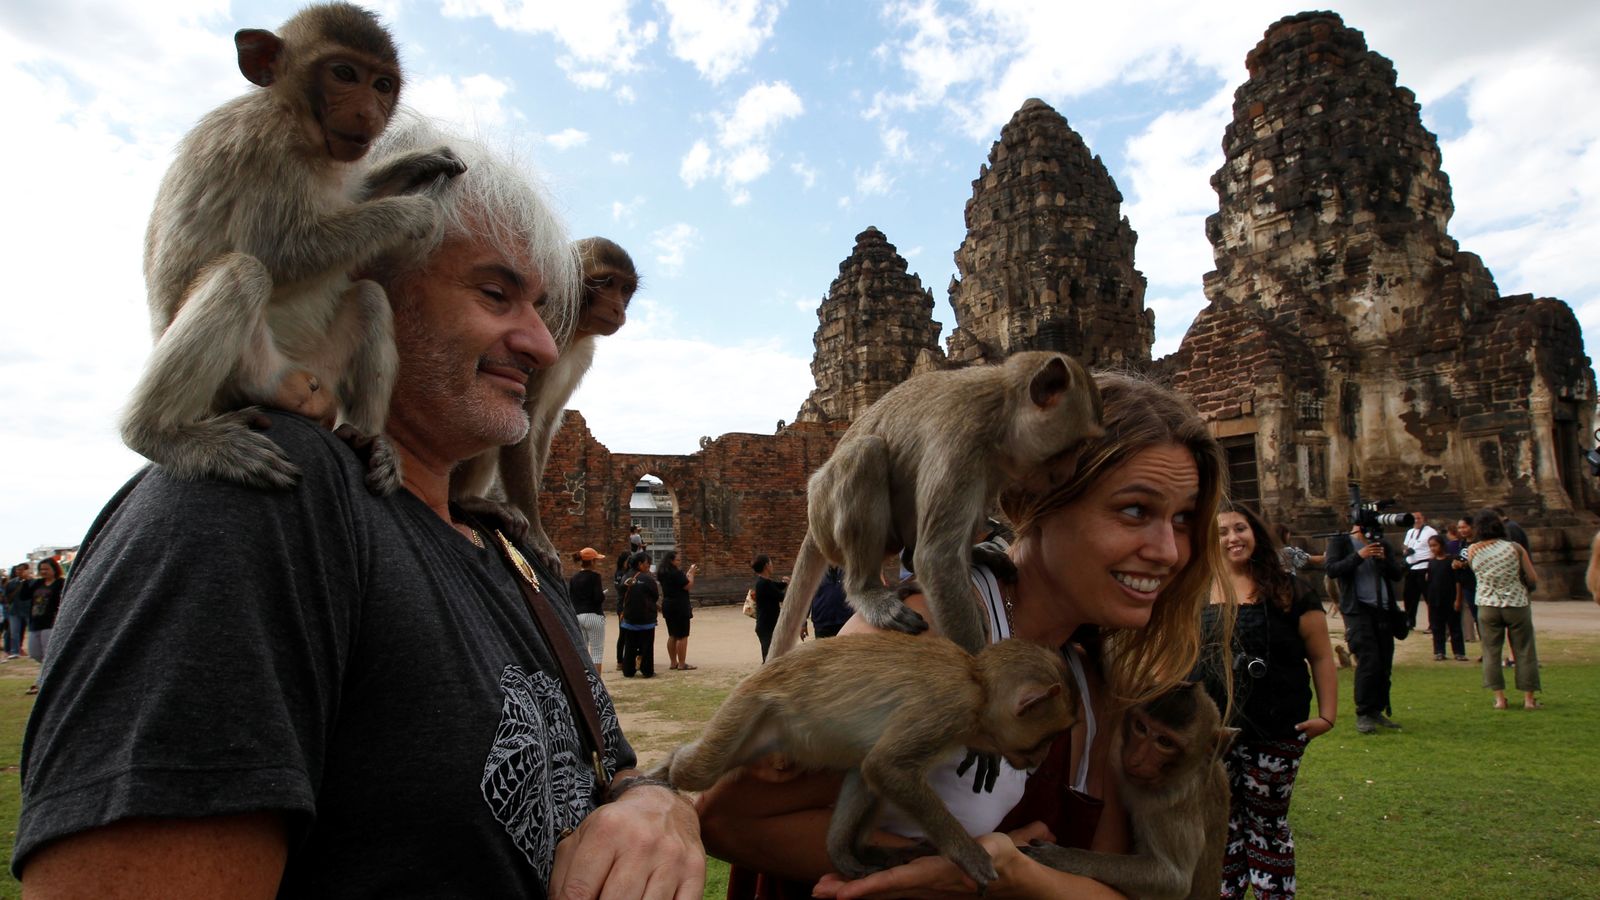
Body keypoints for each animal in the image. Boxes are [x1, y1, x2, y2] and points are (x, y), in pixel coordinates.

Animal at [122, 2, 467, 494]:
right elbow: (281, 254)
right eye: (344, 73)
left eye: (382, 84)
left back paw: (368, 439)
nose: (367, 114)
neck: (297, 121)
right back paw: (159, 435)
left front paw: (421, 163)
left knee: (369, 297)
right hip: (251, 373)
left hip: (320, 367)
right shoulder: (267, 148)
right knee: (244, 272)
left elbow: (354, 198)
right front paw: (415, 214)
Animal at [451, 237, 638, 566]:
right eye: (606, 283)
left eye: (625, 288)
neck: (575, 329)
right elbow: (522, 415)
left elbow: (545, 424)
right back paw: (468, 500)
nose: (617, 308)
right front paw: (539, 537)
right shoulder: (549, 324)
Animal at [651, 632, 1076, 890]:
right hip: (747, 708)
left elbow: (867, 770)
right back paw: (666, 769)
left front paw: (842, 853)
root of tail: (768, 670)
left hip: (765, 733)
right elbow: (886, 767)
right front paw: (967, 853)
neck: (979, 687)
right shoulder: (948, 710)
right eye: (1049, 737)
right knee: (700, 769)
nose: (1039, 759)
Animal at [767, 351, 1102, 660]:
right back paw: (868, 592)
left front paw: (977, 552)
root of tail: (812, 518)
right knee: (867, 454)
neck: (1003, 412)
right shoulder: (962, 441)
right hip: (824, 511)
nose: (1068, 473)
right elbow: (936, 559)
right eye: (1074, 446)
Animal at [1022, 682, 1237, 900]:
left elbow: (1173, 880)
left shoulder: (1169, 808)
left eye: (1165, 742)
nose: (1136, 760)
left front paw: (1065, 858)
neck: (1185, 772)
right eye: (1141, 727)